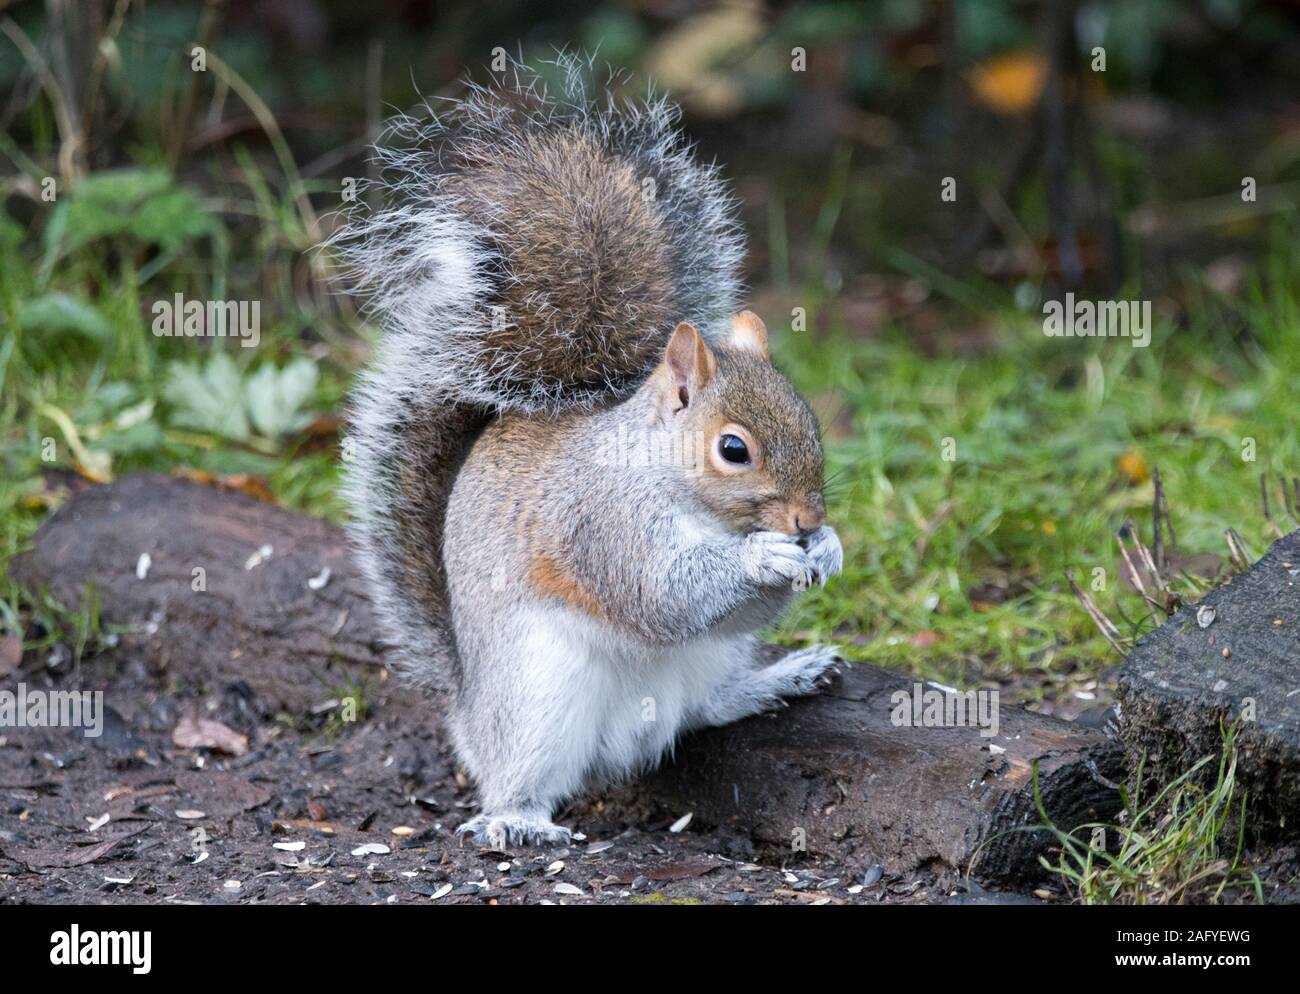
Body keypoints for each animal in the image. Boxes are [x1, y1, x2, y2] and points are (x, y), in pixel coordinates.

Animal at [333, 58, 845, 848]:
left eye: (810, 421)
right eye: (733, 449)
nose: (806, 521)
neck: (672, 483)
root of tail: (466, 703)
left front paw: (828, 549)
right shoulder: (602, 522)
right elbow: (662, 595)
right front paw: (764, 557)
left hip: (708, 661)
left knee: (706, 707)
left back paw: (776, 679)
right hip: (537, 696)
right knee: (517, 776)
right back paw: (519, 821)